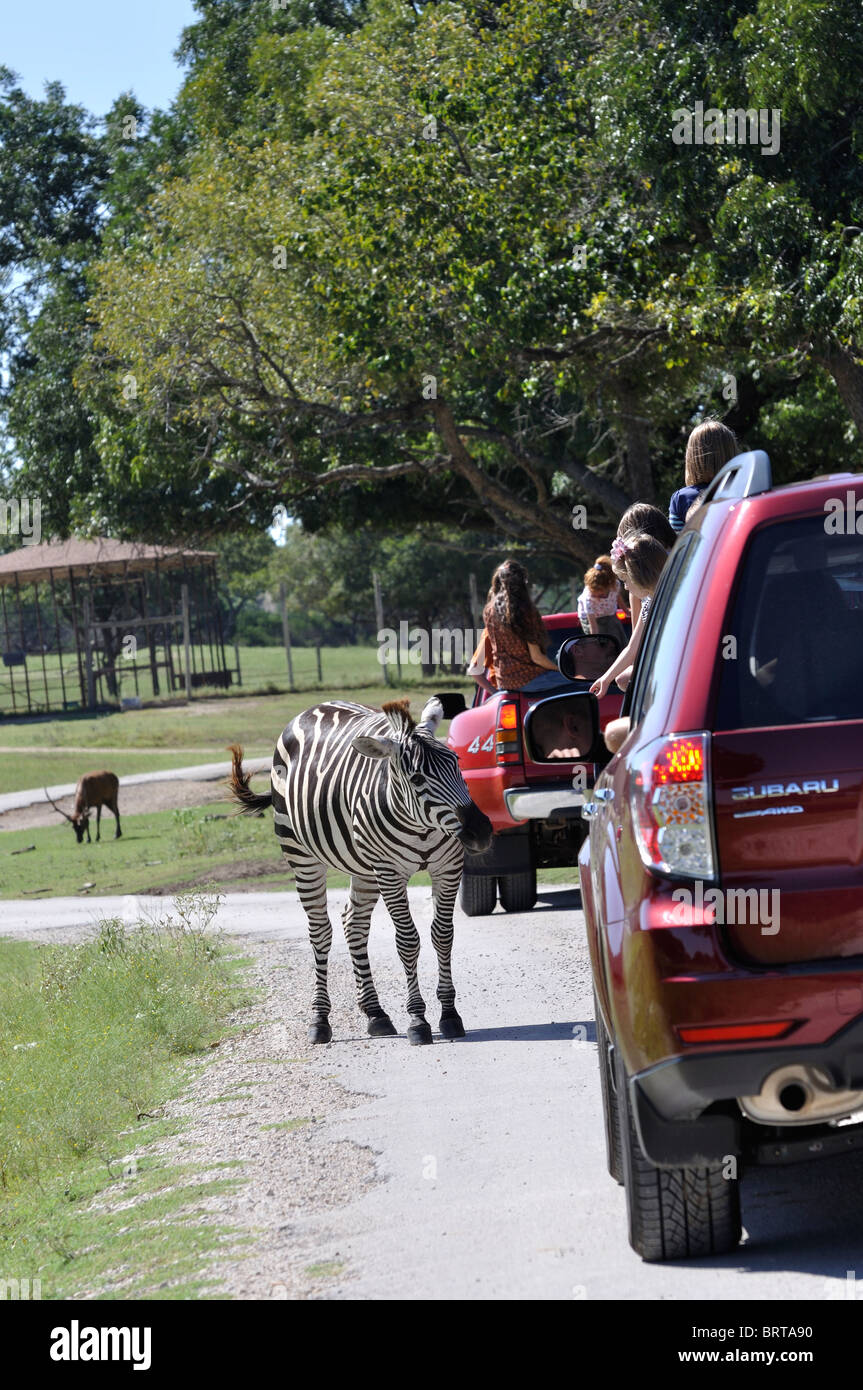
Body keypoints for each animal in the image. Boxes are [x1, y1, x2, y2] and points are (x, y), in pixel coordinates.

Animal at [228, 696, 492, 1045]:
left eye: (457, 763)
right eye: (417, 779)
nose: (481, 832)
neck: (421, 826)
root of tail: (314, 708)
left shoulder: (447, 867)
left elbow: (443, 935)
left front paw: (449, 1015)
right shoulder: (390, 873)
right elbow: (408, 941)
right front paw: (418, 1020)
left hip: (365, 868)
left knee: (353, 923)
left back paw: (376, 1014)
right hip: (303, 856)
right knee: (320, 932)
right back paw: (320, 1021)